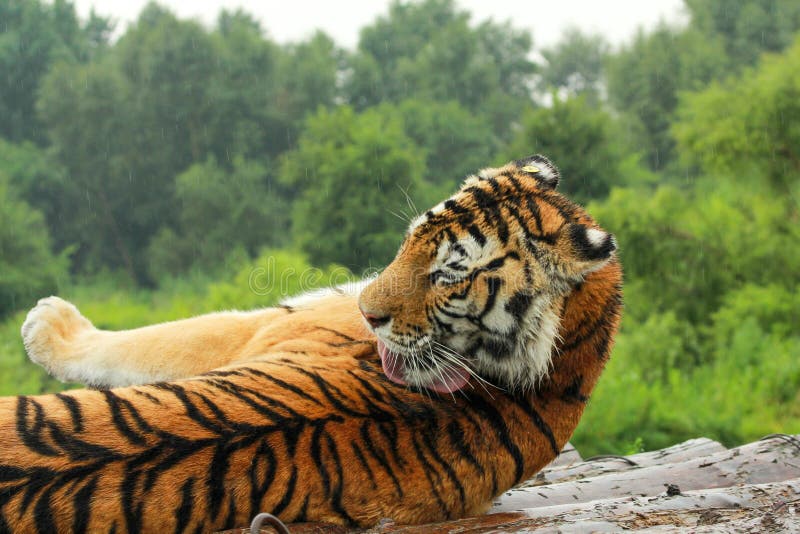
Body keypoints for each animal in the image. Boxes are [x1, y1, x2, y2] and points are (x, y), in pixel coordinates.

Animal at [1, 155, 622, 533]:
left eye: (448, 275)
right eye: (410, 239)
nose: (367, 312)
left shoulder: (269, 326)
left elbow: (157, 340)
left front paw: (47, 324)